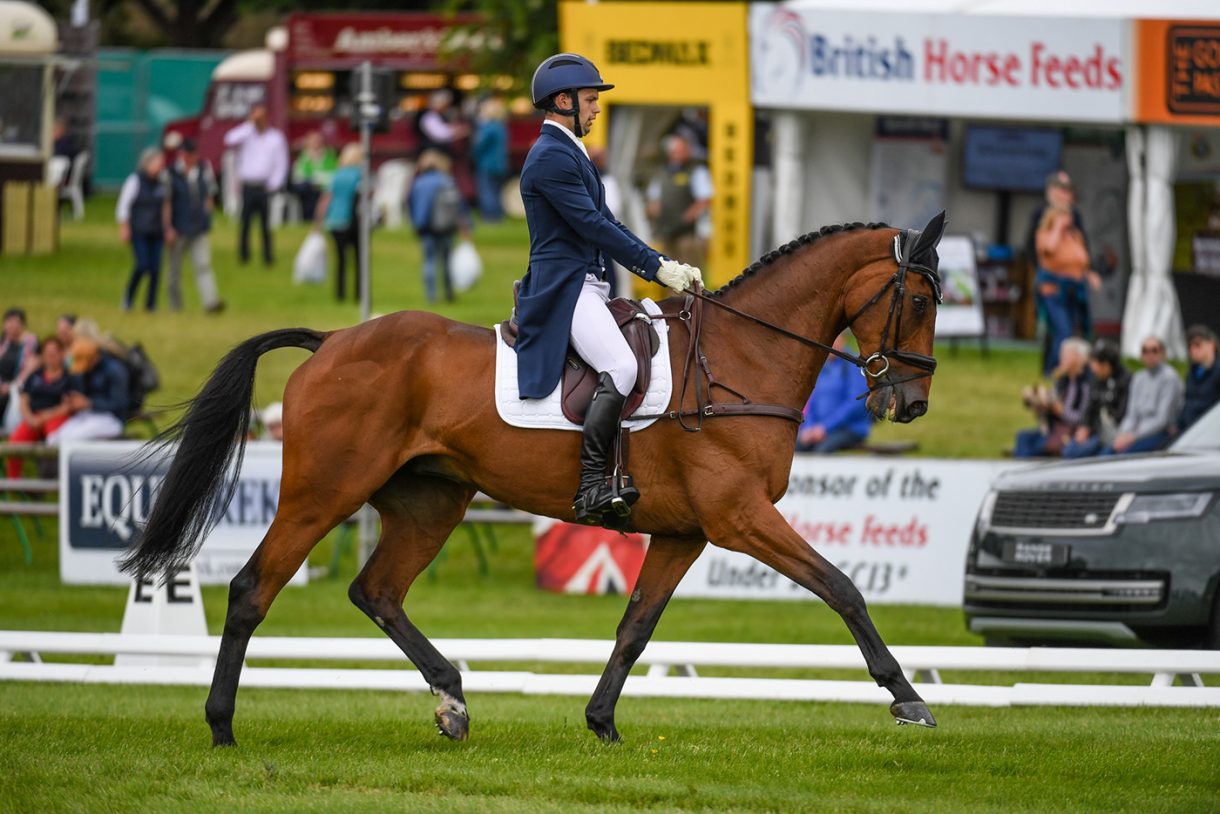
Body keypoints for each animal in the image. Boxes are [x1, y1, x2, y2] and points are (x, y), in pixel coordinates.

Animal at [121, 213, 947, 747]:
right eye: (918, 298)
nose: (909, 405)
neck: (741, 359)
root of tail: (331, 341)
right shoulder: (740, 517)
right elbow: (842, 587)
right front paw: (907, 700)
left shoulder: (685, 531)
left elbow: (635, 628)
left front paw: (601, 722)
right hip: (324, 491)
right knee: (252, 588)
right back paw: (222, 727)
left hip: (429, 501)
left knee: (376, 591)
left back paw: (452, 701)